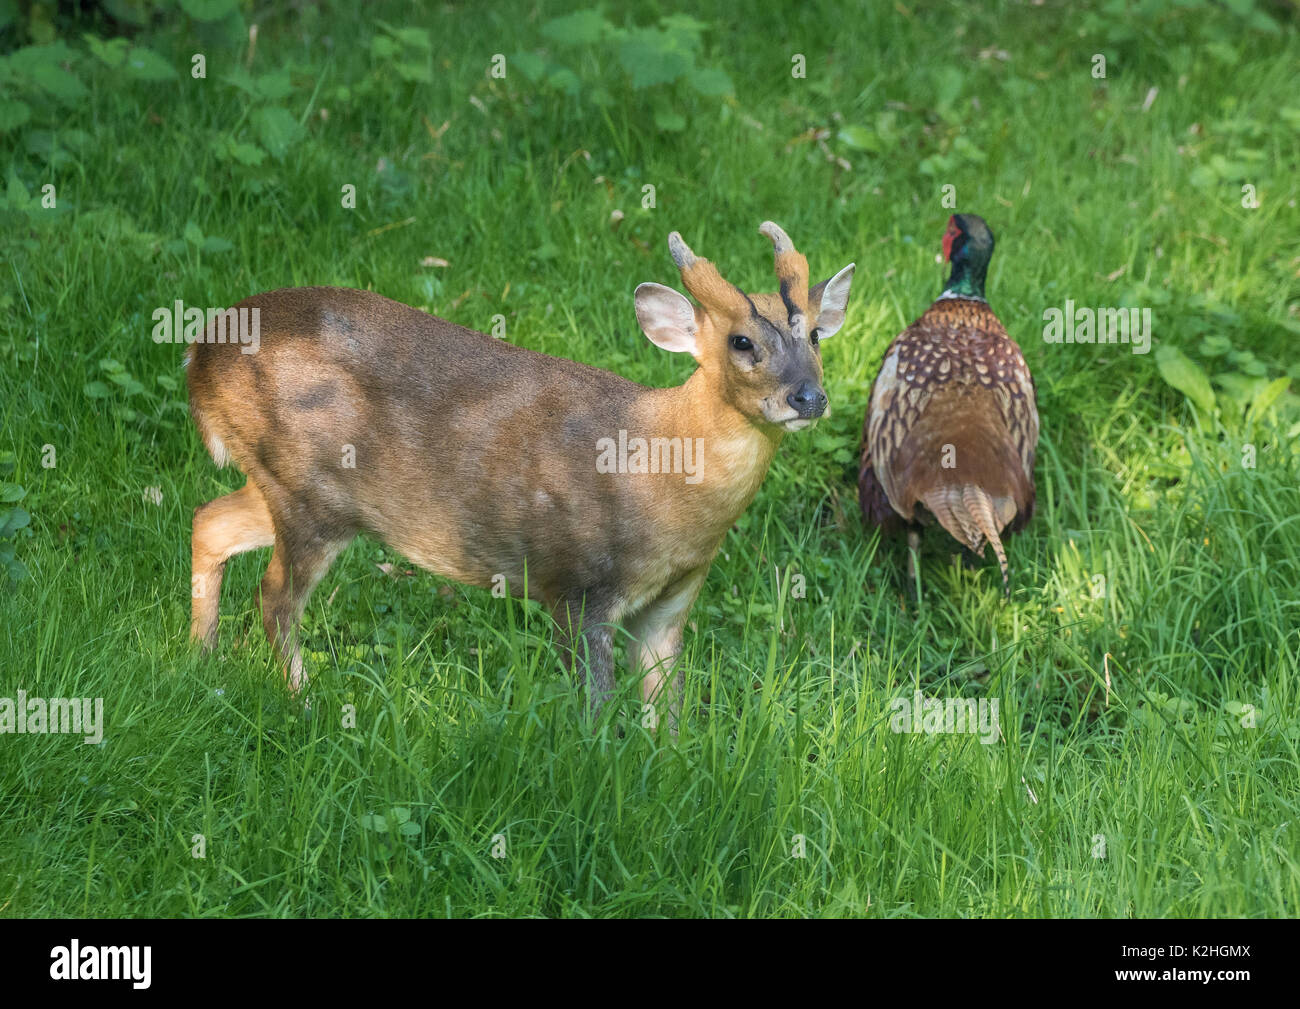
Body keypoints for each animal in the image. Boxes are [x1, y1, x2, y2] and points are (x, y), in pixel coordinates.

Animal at [187, 223, 855, 731]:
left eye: (816, 335)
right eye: (741, 341)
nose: (809, 397)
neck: (658, 471)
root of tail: (199, 355)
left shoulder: (673, 601)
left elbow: (667, 709)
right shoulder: (577, 586)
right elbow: (594, 707)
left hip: (284, 484)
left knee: (208, 522)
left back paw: (200, 659)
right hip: (305, 486)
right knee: (275, 598)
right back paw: (302, 701)